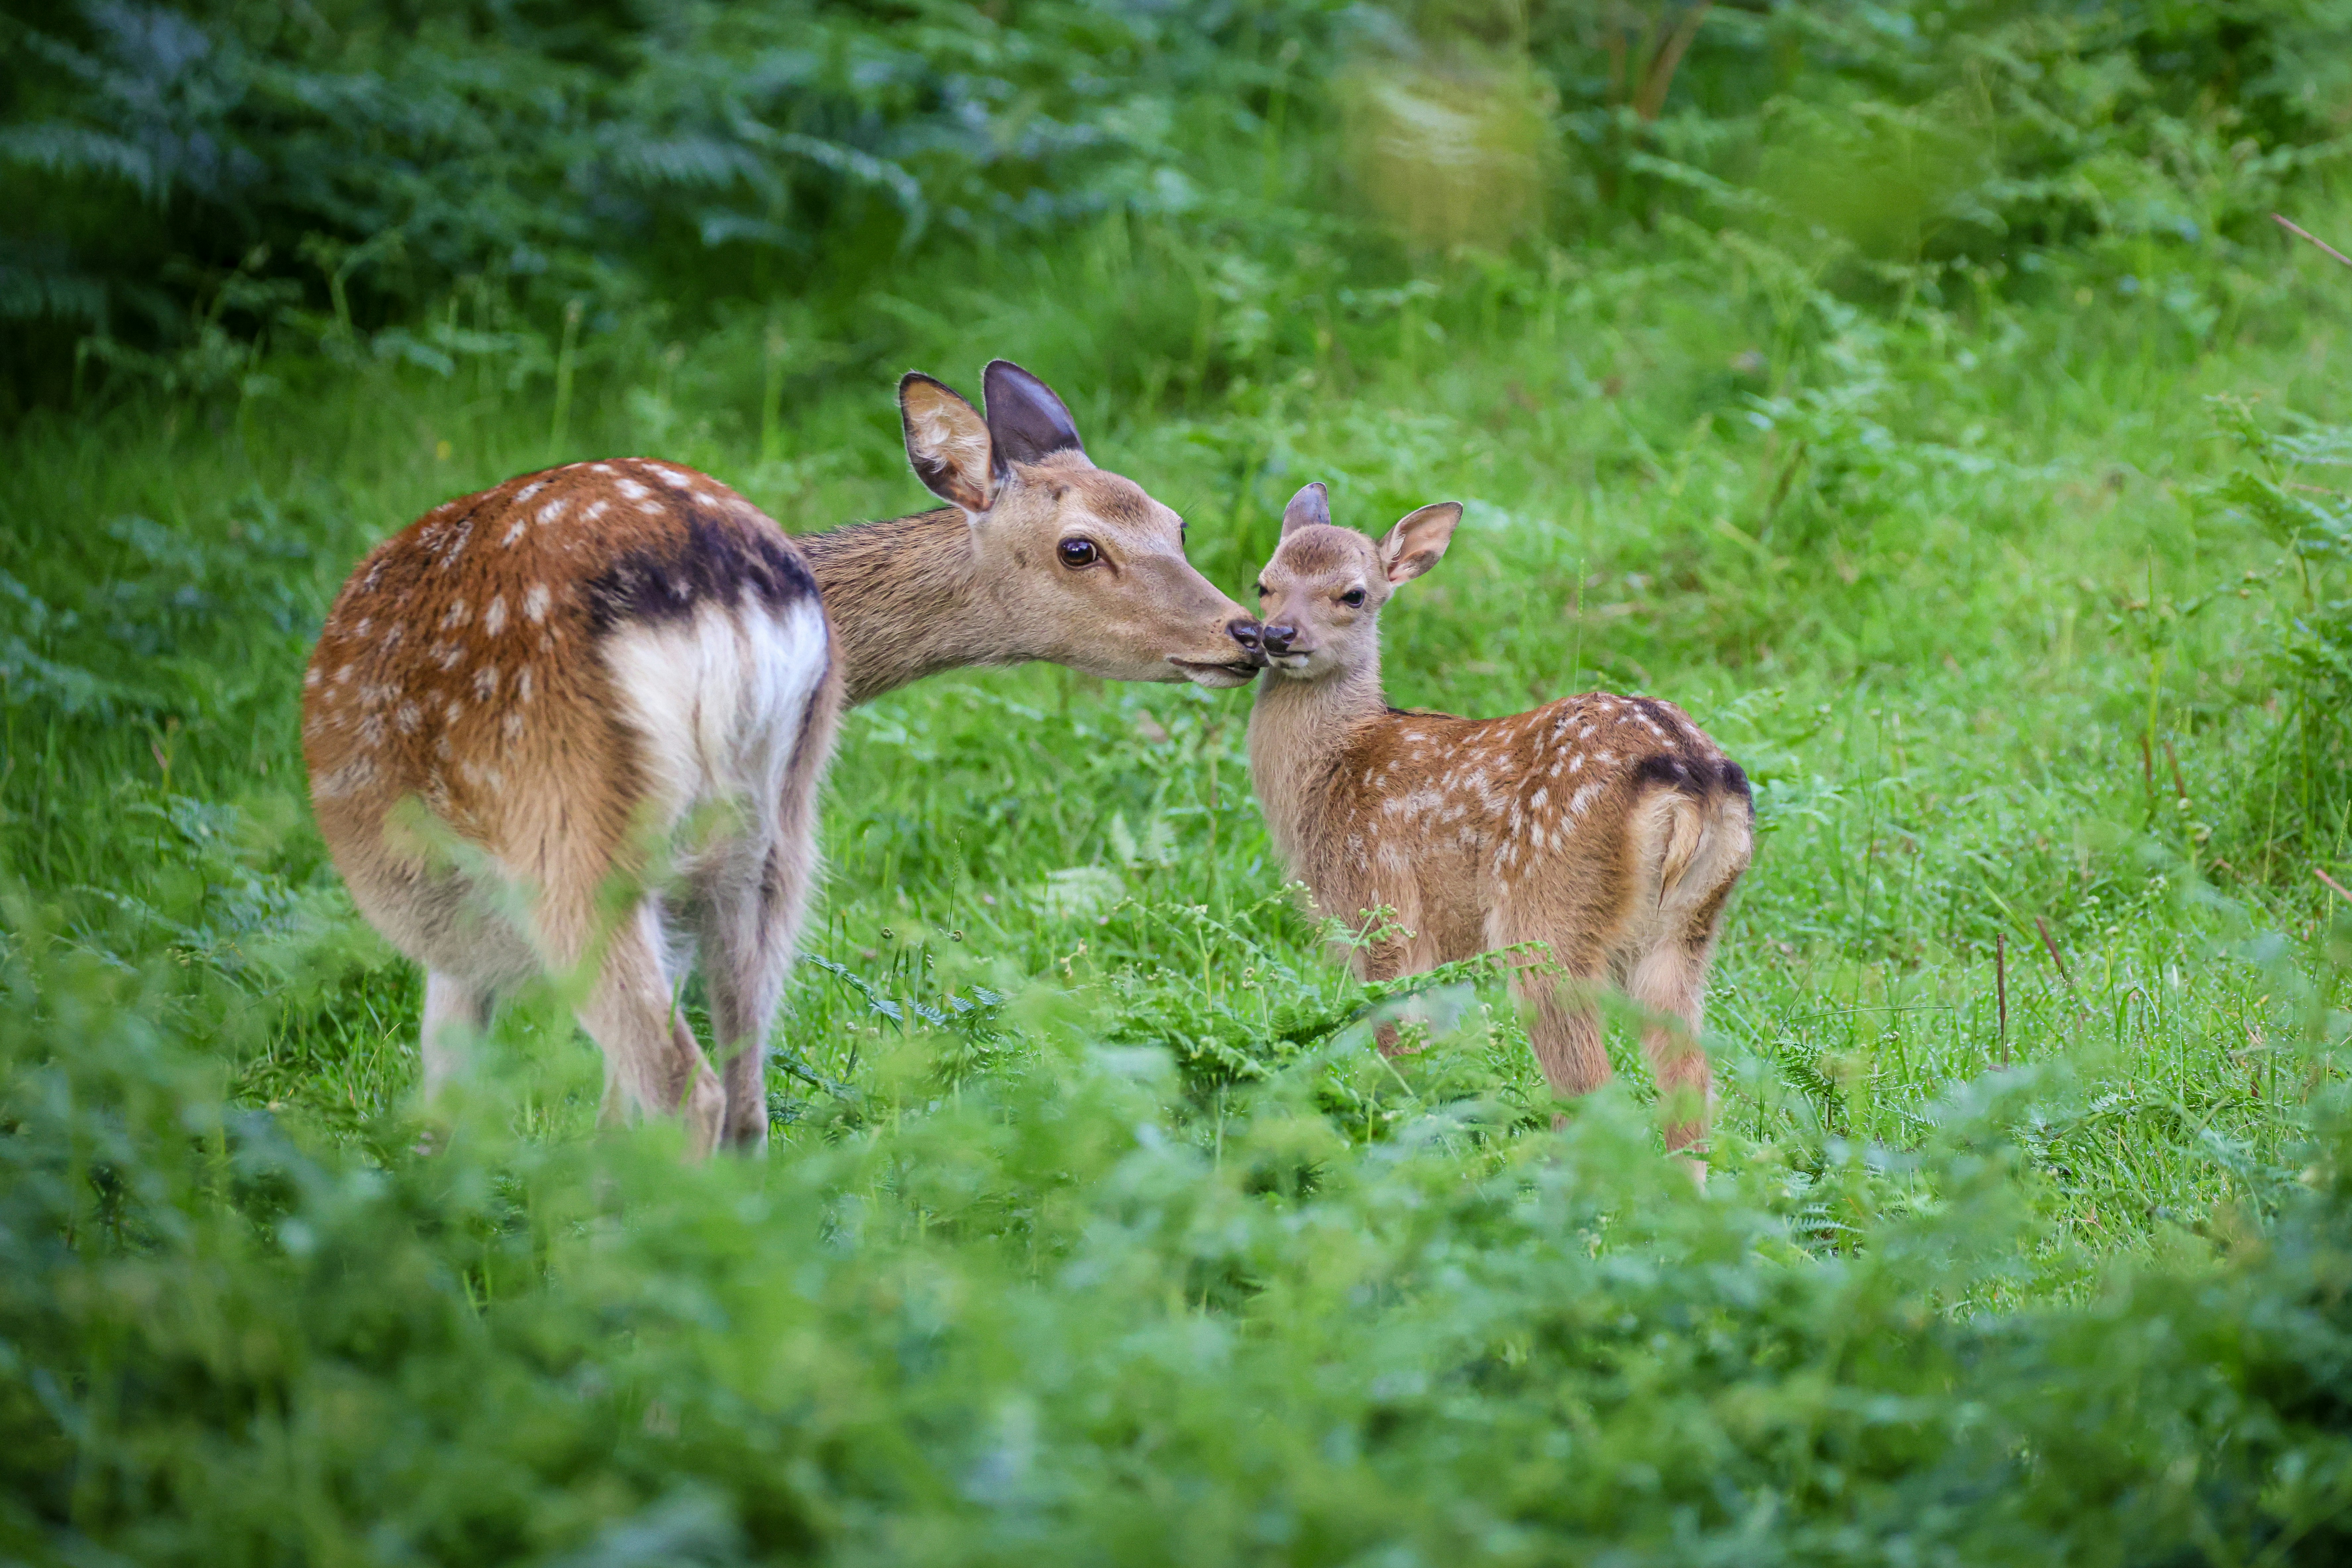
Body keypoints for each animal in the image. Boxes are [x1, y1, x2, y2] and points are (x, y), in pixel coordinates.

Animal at [304, 360, 1258, 1157]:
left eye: (1174, 525)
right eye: (1081, 545)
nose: (1246, 632)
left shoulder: (453, 931)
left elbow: (449, 1099)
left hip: (571, 839)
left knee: (683, 1087)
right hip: (774, 837)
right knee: (740, 1091)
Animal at [1239, 483, 1753, 1168]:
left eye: (1354, 594)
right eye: (1264, 584)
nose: (1277, 634)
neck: (1332, 767)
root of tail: (1693, 777)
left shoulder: (1383, 909)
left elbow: (1402, 1053)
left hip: (1544, 916)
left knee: (1593, 1089)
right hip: (1689, 930)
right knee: (1689, 1077)